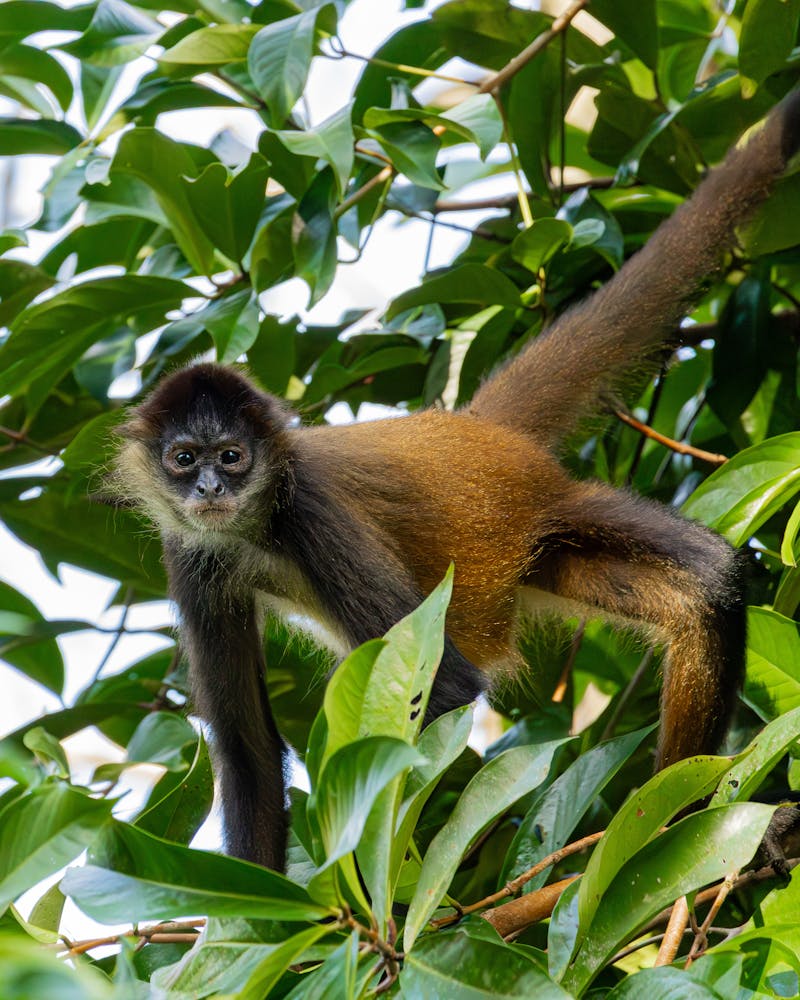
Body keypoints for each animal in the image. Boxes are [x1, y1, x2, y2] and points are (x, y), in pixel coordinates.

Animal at [114, 89, 800, 872]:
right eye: (184, 459)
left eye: (231, 457)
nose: (209, 491)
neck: (256, 524)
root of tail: (473, 431)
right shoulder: (192, 552)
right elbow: (250, 754)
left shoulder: (310, 510)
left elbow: (447, 691)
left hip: (545, 506)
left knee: (710, 577)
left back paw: (666, 831)